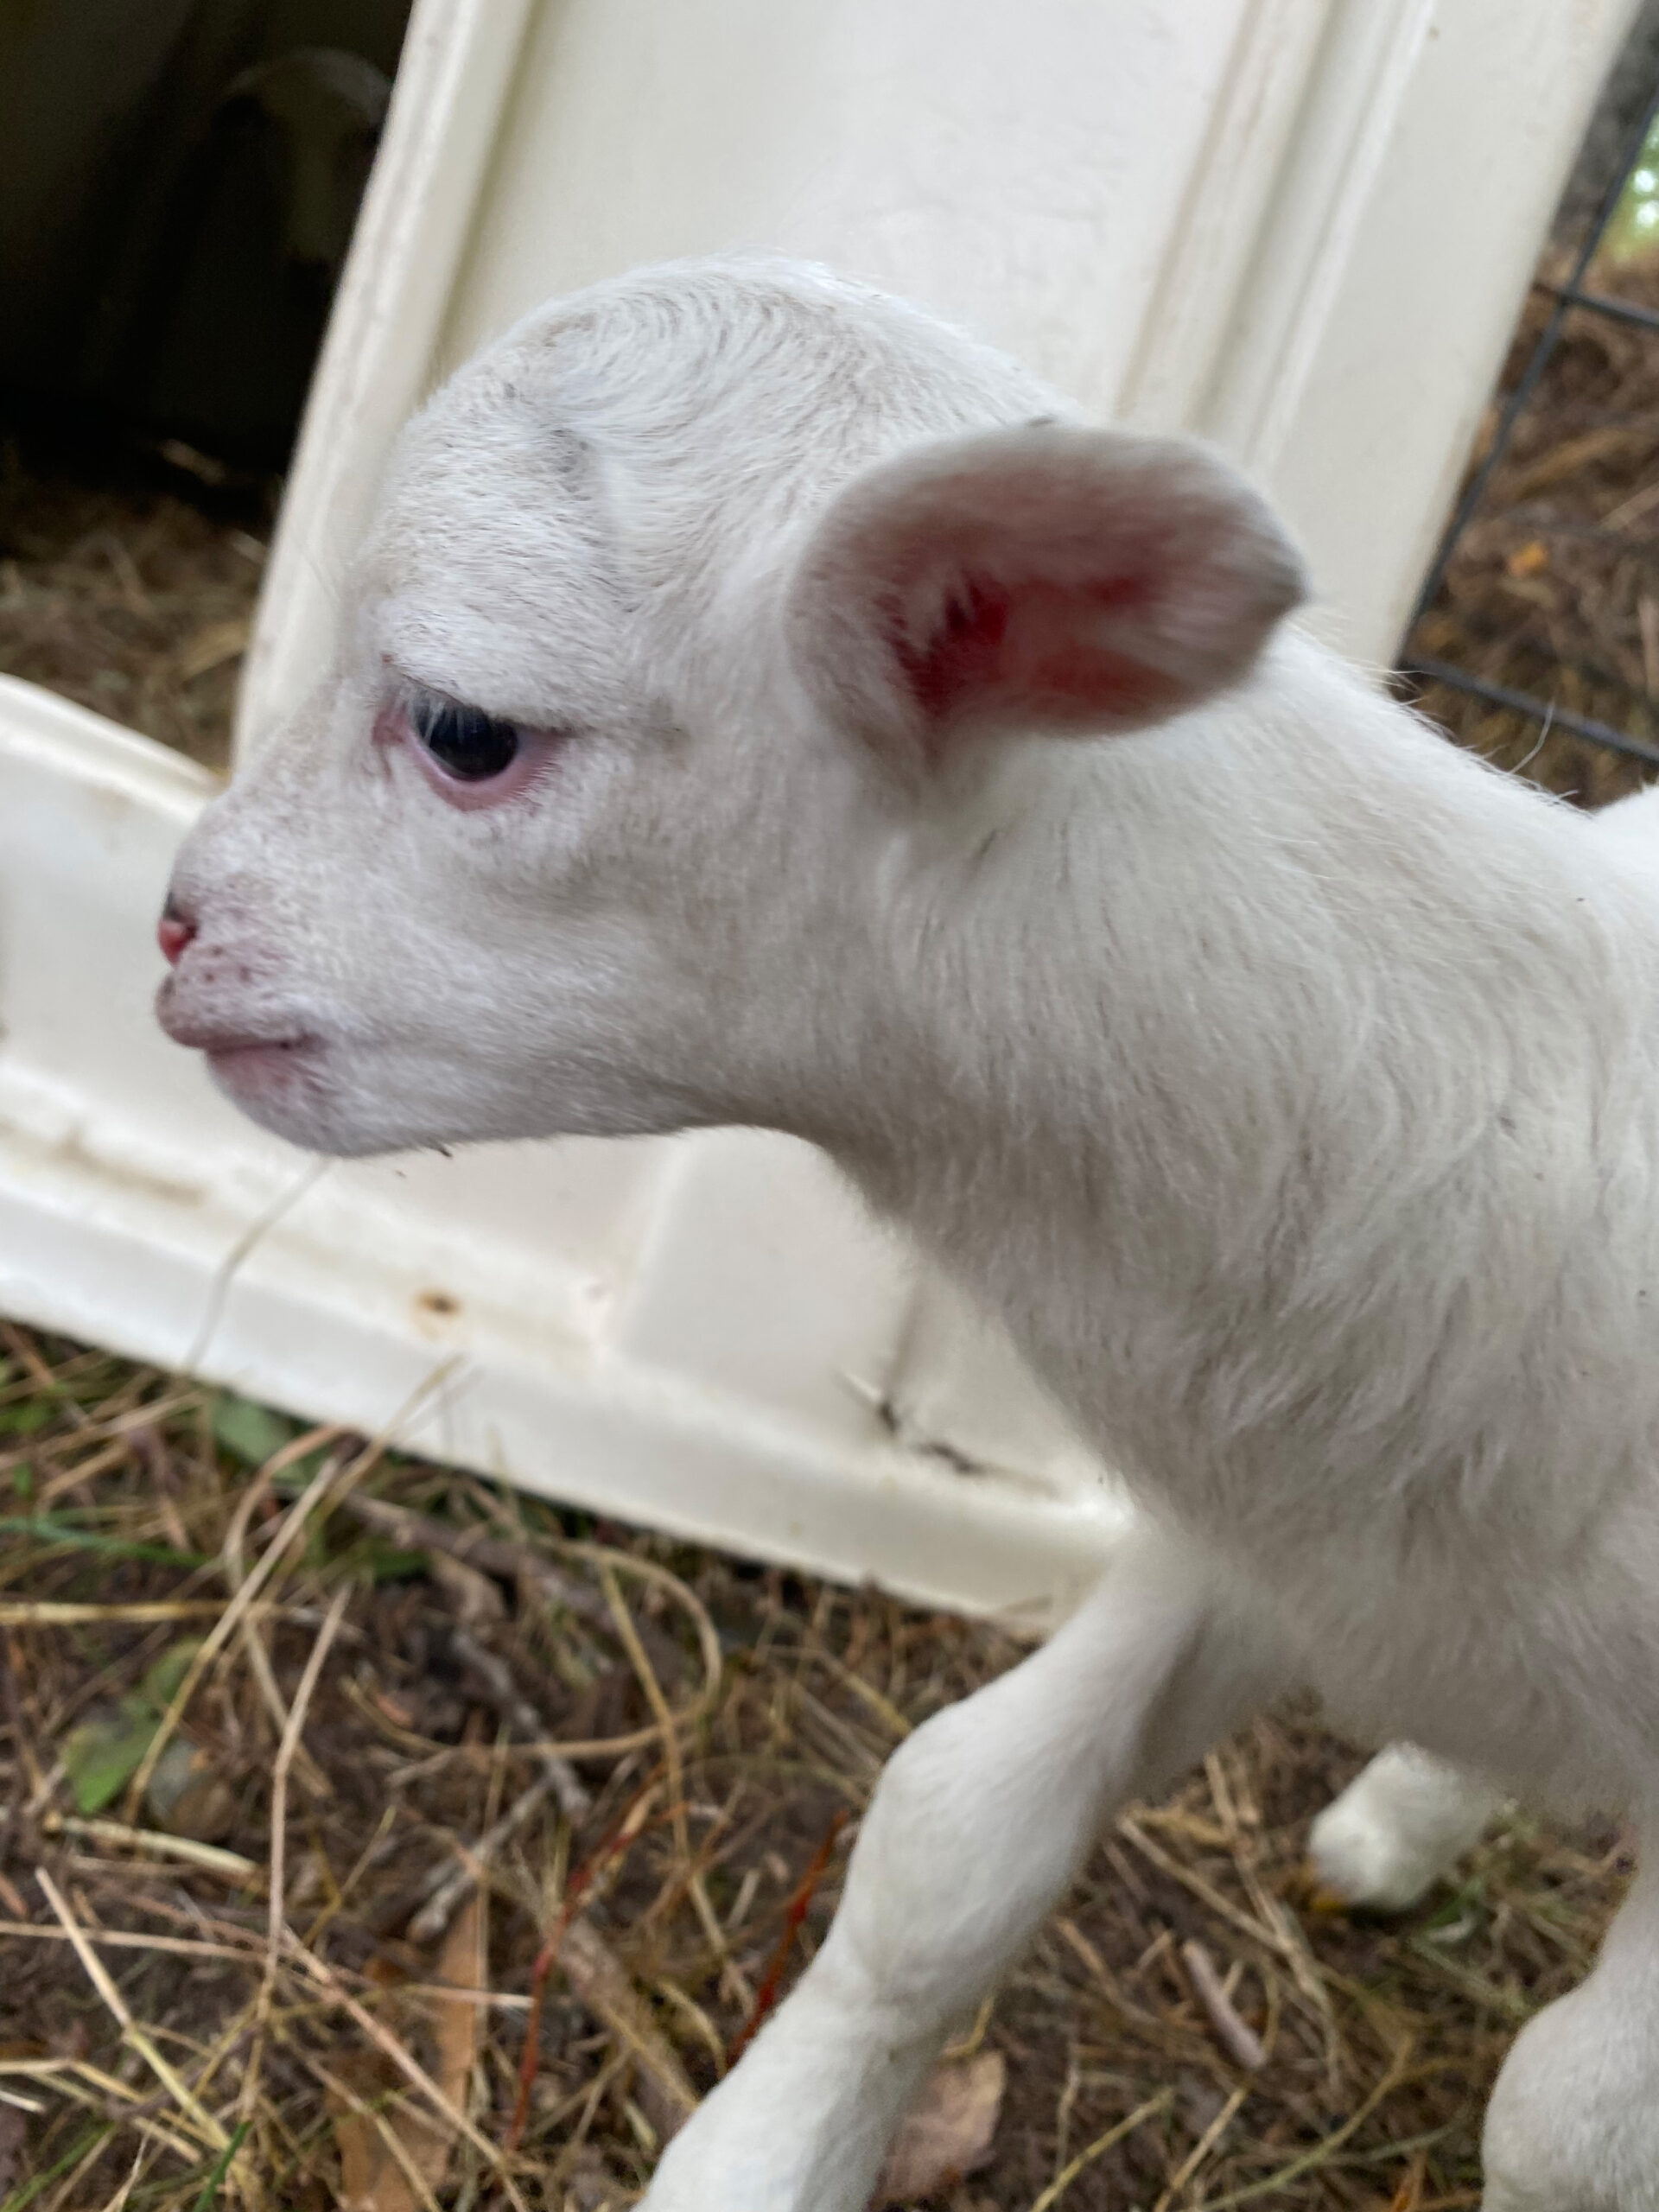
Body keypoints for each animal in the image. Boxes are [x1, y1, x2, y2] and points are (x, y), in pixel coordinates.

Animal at [156, 257, 1659, 2210]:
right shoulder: (1249, 1528)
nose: (178, 923)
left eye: (467, 728)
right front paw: (755, 2157)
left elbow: (1573, 2114)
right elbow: (953, 1829)